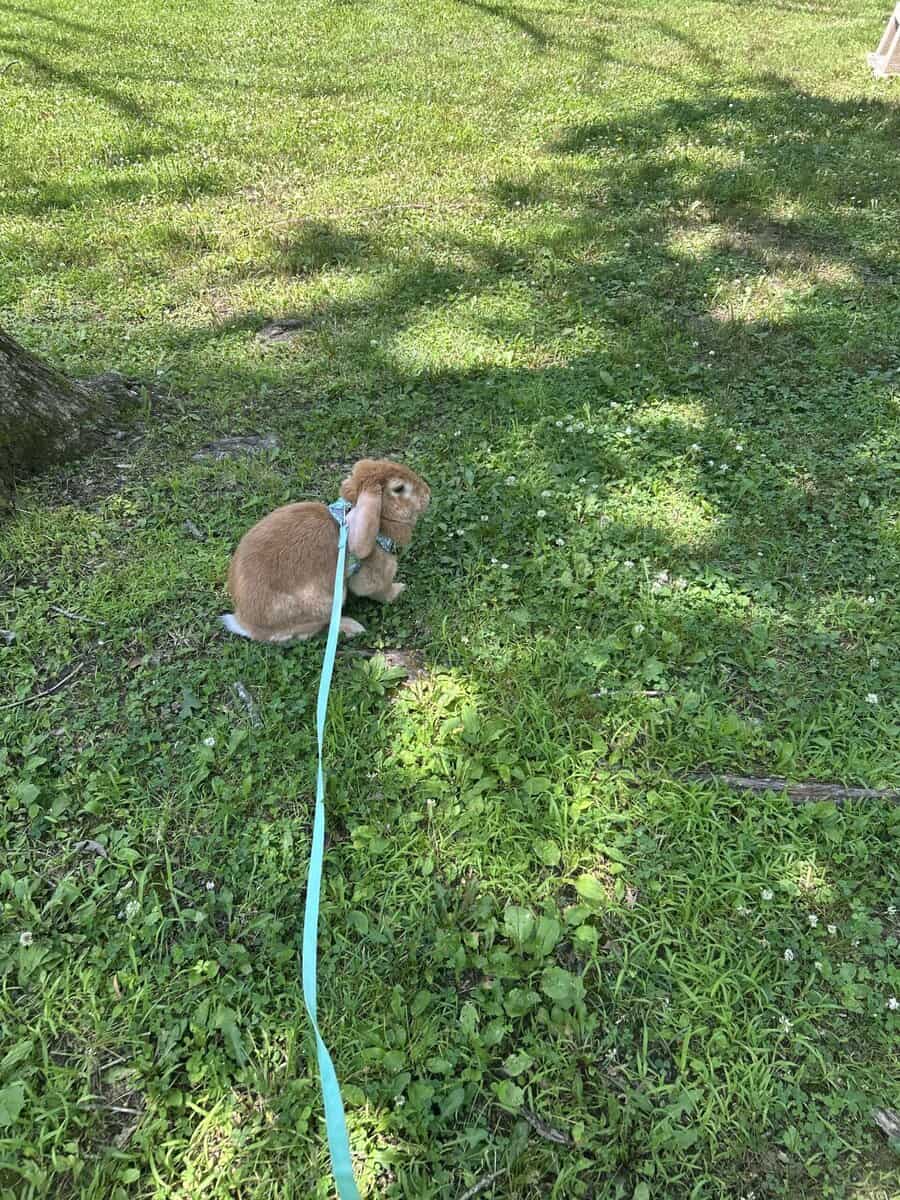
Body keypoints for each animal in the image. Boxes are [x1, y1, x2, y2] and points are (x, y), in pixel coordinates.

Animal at [221, 458, 431, 642]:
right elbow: (381, 591)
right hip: (325, 602)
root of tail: (246, 625)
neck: (381, 520)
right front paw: (399, 590)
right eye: (399, 488)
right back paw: (352, 627)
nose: (427, 494)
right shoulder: (375, 574)